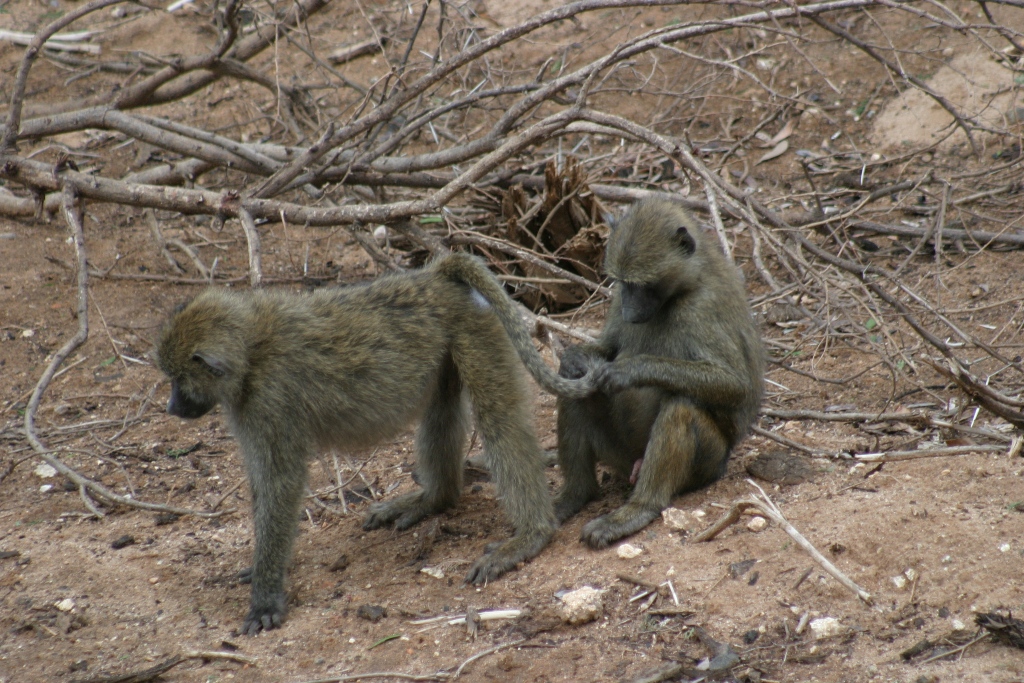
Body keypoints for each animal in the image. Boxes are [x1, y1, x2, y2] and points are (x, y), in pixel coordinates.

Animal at [155, 252, 597, 635]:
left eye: (177, 380)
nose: (171, 407)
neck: (251, 347)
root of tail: (432, 275)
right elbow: (263, 487)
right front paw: (265, 568)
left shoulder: (270, 401)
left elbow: (280, 485)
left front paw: (265, 598)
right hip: (451, 336)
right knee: (441, 410)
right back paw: (435, 499)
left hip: (474, 326)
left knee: (499, 419)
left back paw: (531, 536)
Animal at [552, 198, 764, 549]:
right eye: (622, 283)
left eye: (641, 284)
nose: (628, 311)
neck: (686, 285)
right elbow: (603, 350)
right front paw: (573, 357)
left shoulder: (701, 308)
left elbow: (735, 385)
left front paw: (628, 370)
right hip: (619, 455)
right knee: (576, 391)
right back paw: (572, 497)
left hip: (709, 465)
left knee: (682, 406)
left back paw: (638, 509)